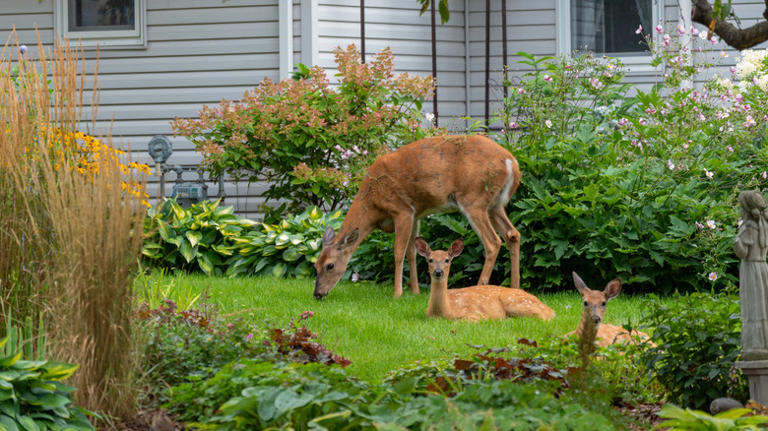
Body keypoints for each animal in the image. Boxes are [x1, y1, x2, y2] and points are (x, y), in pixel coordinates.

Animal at [314, 135, 522, 300]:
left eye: (330, 265)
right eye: (316, 265)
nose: (317, 294)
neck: (373, 204)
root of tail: (511, 162)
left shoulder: (402, 210)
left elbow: (398, 252)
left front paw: (397, 293)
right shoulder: (416, 215)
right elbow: (412, 252)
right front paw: (415, 292)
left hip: (474, 199)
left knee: (493, 241)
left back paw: (480, 288)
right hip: (495, 204)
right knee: (512, 234)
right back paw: (516, 289)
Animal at [415, 237, 555, 321]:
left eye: (447, 260)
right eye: (430, 260)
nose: (438, 272)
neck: (444, 311)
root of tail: (550, 309)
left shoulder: (475, 314)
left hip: (516, 303)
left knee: (543, 316)